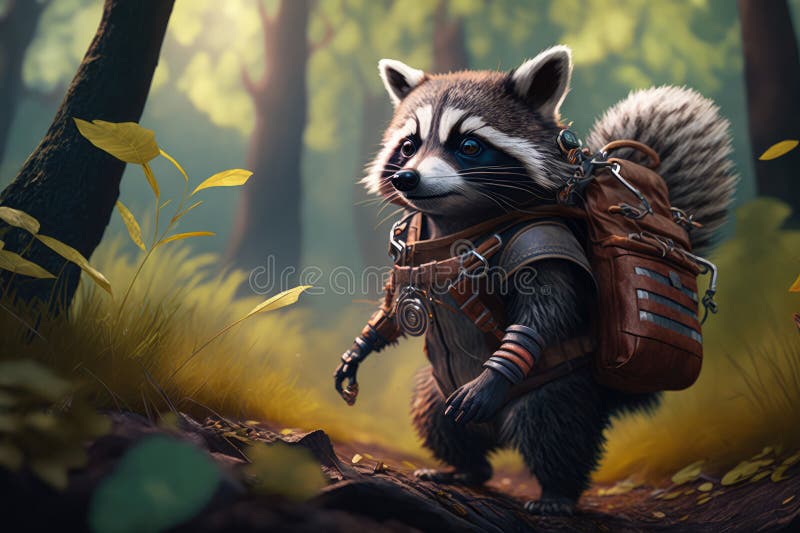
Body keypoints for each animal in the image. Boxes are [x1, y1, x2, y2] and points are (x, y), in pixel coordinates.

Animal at [338, 45, 737, 515]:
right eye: (408, 145)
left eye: (468, 145)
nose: (407, 178)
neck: (454, 223)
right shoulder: (410, 249)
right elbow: (393, 311)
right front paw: (359, 348)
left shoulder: (540, 235)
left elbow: (545, 310)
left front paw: (501, 365)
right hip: (439, 388)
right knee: (436, 418)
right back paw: (465, 468)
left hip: (556, 385)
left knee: (552, 427)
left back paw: (556, 490)